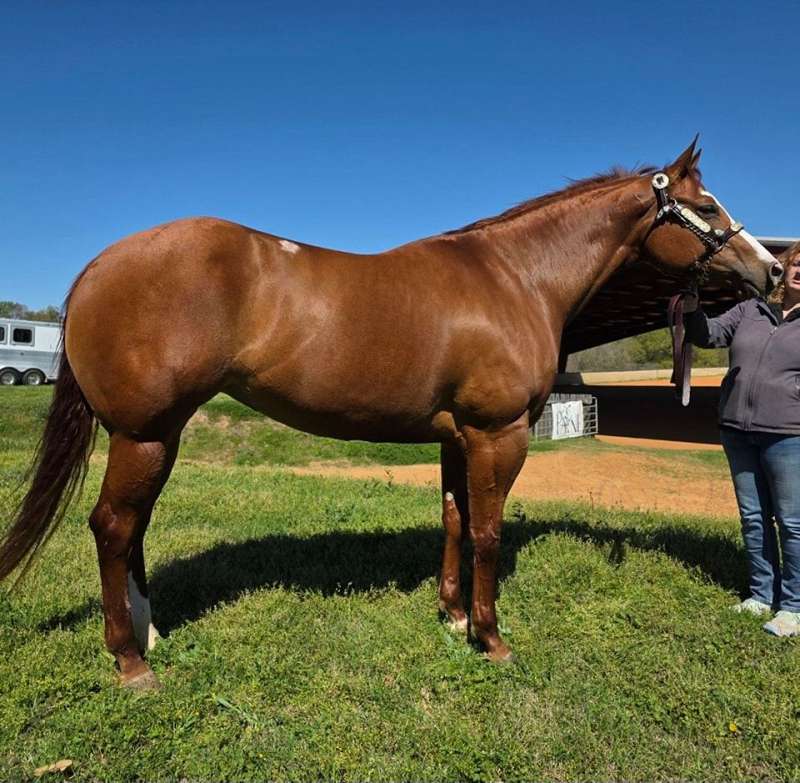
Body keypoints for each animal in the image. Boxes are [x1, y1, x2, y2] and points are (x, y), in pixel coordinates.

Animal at [0, 139, 782, 689]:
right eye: (709, 207)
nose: (772, 271)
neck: (515, 277)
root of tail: (100, 265)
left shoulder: (456, 436)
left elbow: (455, 520)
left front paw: (454, 615)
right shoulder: (498, 434)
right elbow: (489, 532)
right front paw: (492, 638)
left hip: (154, 435)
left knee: (130, 529)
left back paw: (148, 633)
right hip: (145, 433)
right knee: (113, 527)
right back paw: (132, 662)